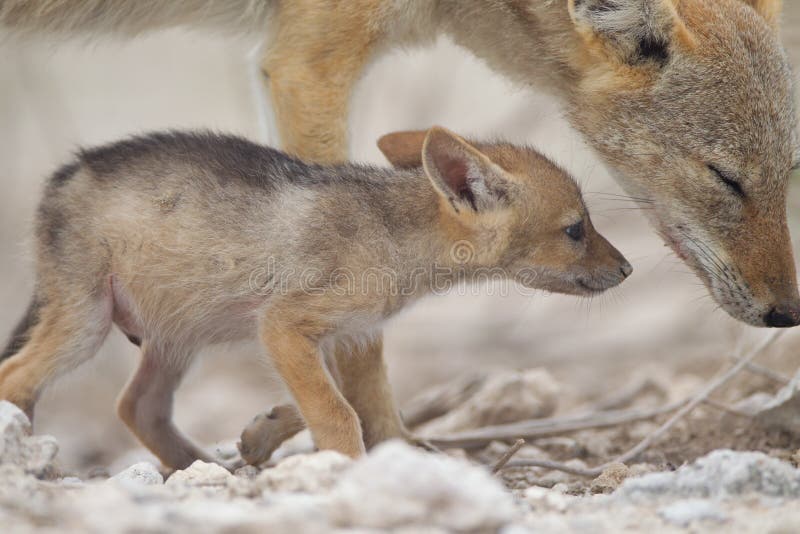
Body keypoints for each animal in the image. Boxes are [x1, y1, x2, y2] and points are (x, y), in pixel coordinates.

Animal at [0, 127, 630, 467]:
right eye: (576, 230)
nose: (627, 269)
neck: (394, 232)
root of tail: (65, 172)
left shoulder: (341, 335)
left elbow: (346, 404)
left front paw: (264, 435)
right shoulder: (282, 324)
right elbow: (338, 411)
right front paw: (348, 470)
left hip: (177, 337)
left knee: (138, 406)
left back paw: (206, 469)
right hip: (86, 326)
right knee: (17, 380)